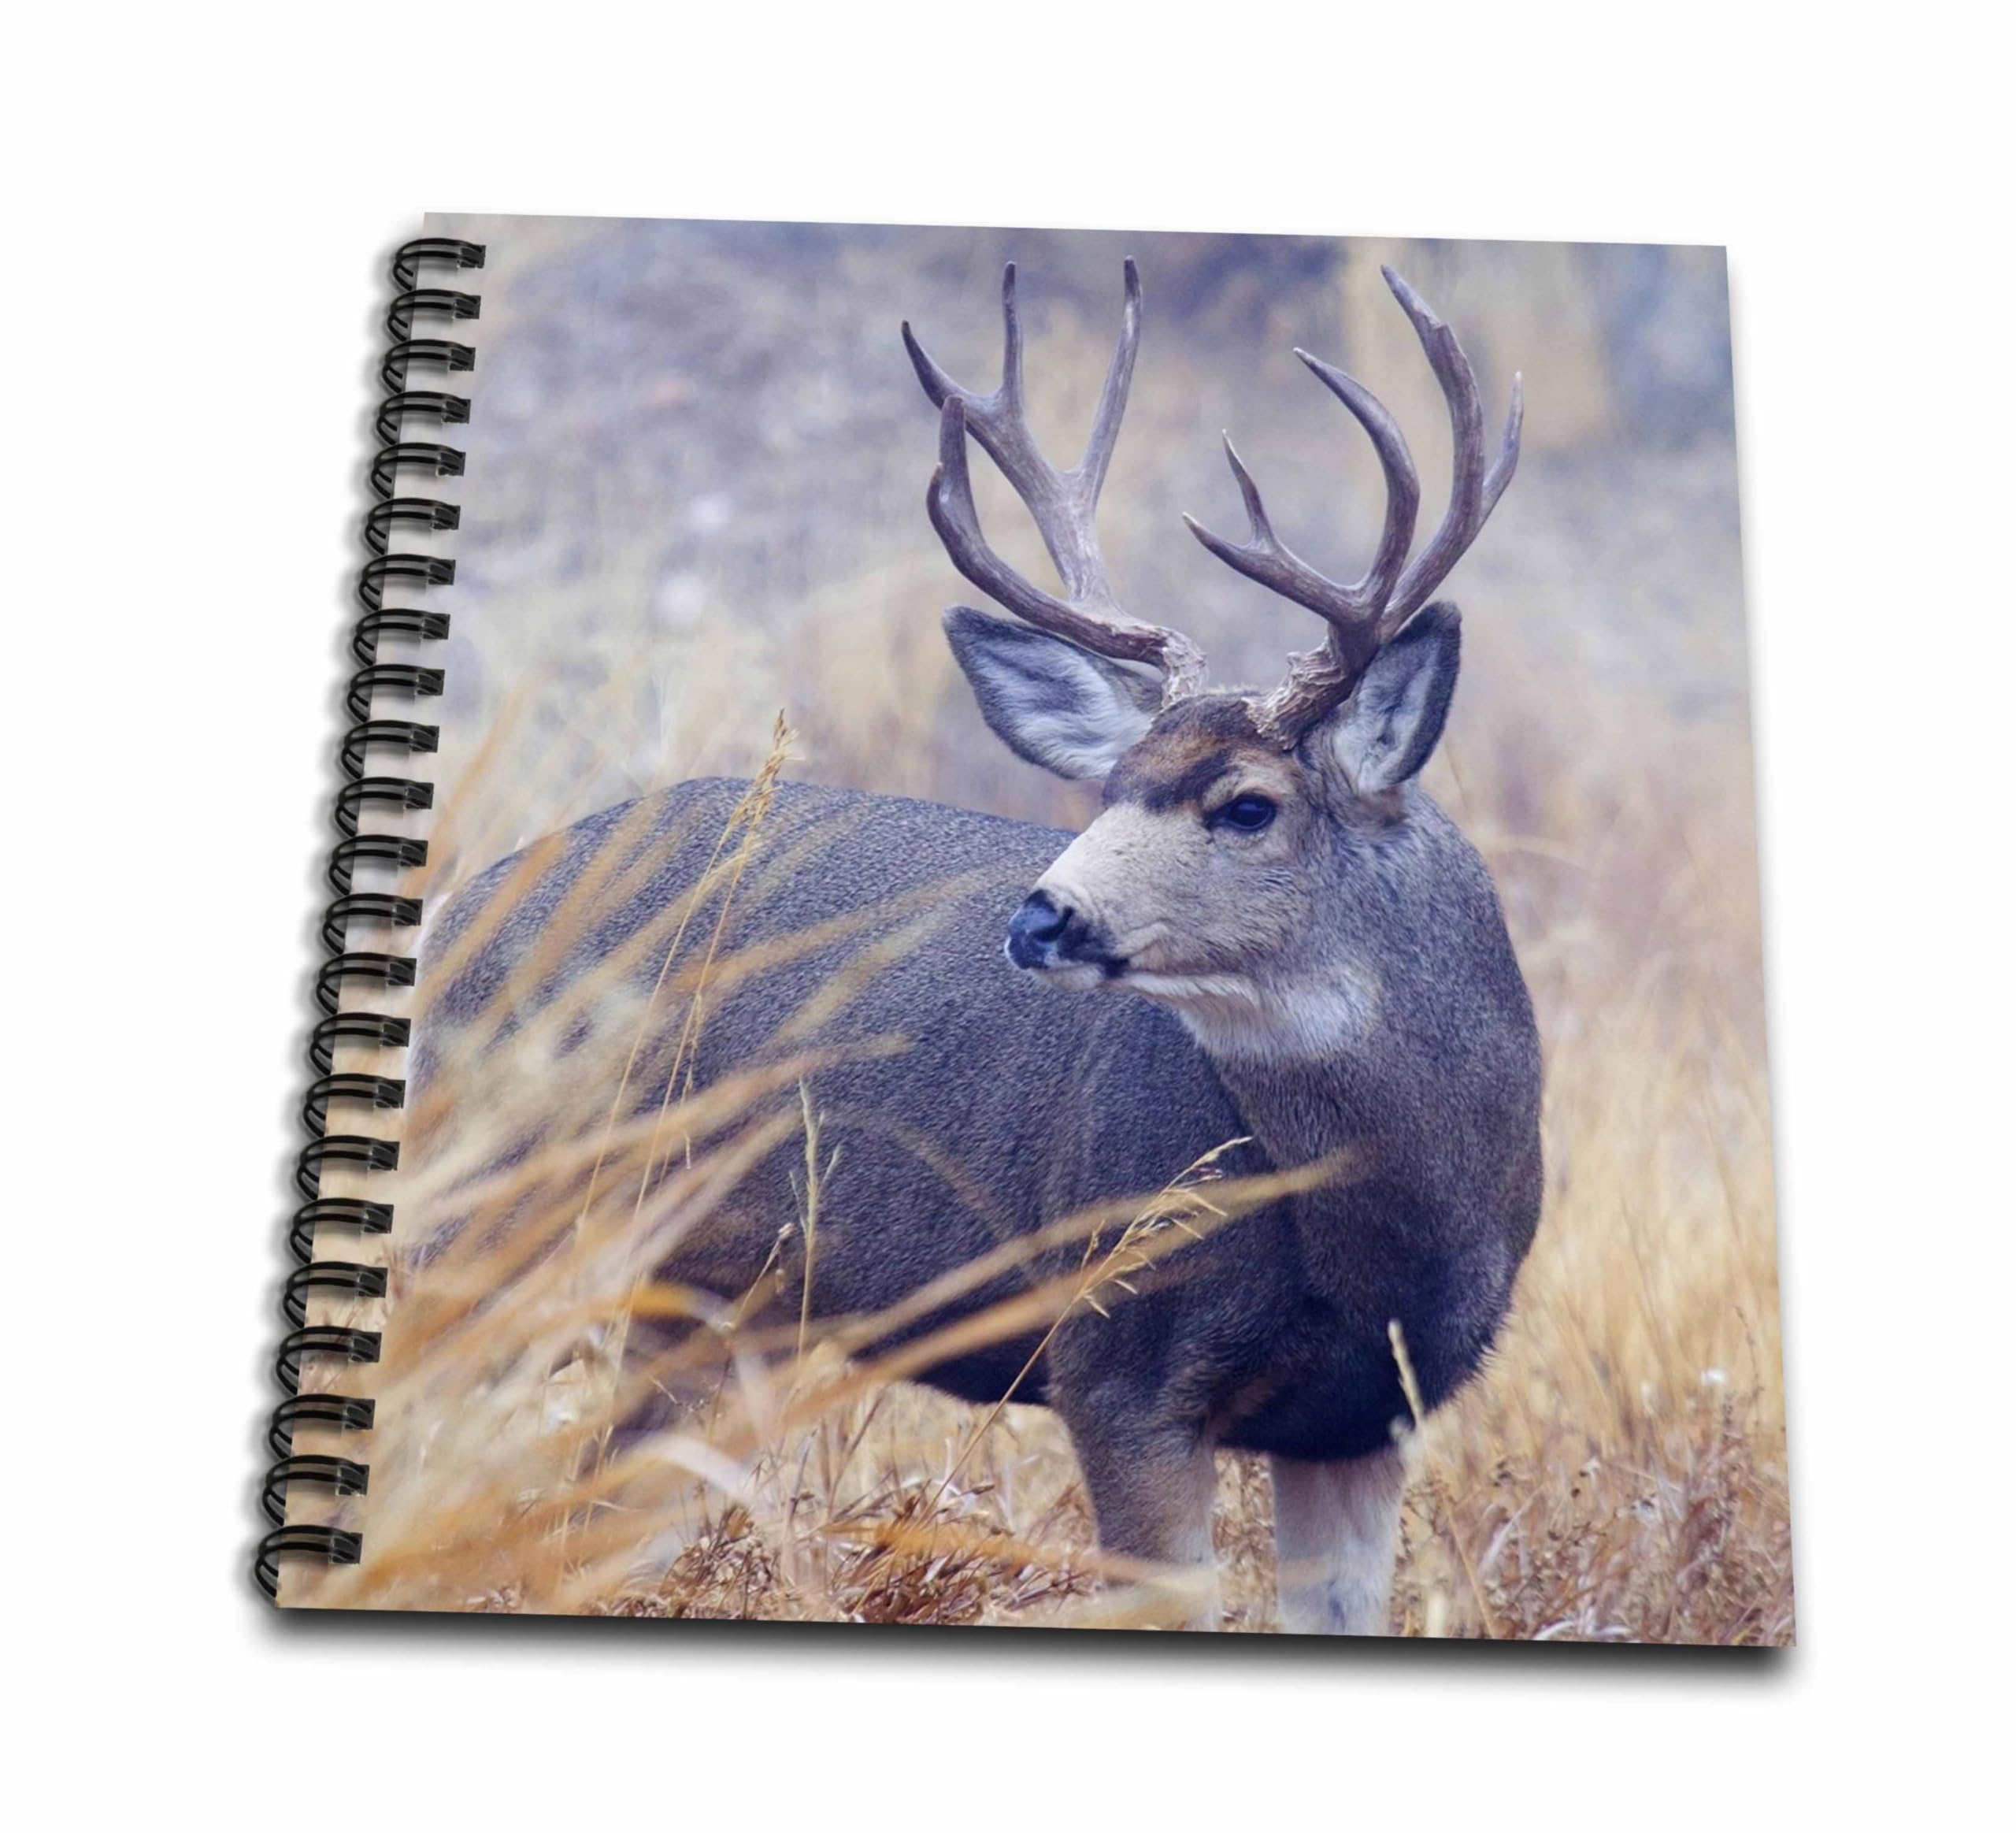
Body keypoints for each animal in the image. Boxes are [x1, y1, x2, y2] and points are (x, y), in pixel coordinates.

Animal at [424, 261, 1542, 1635]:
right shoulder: (1112, 1351)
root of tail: (466, 901)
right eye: (1111, 784)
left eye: (1246, 804)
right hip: (495, 1209)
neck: (1383, 1226)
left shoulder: (1368, 1415)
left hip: (706, 1313)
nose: (1043, 913)